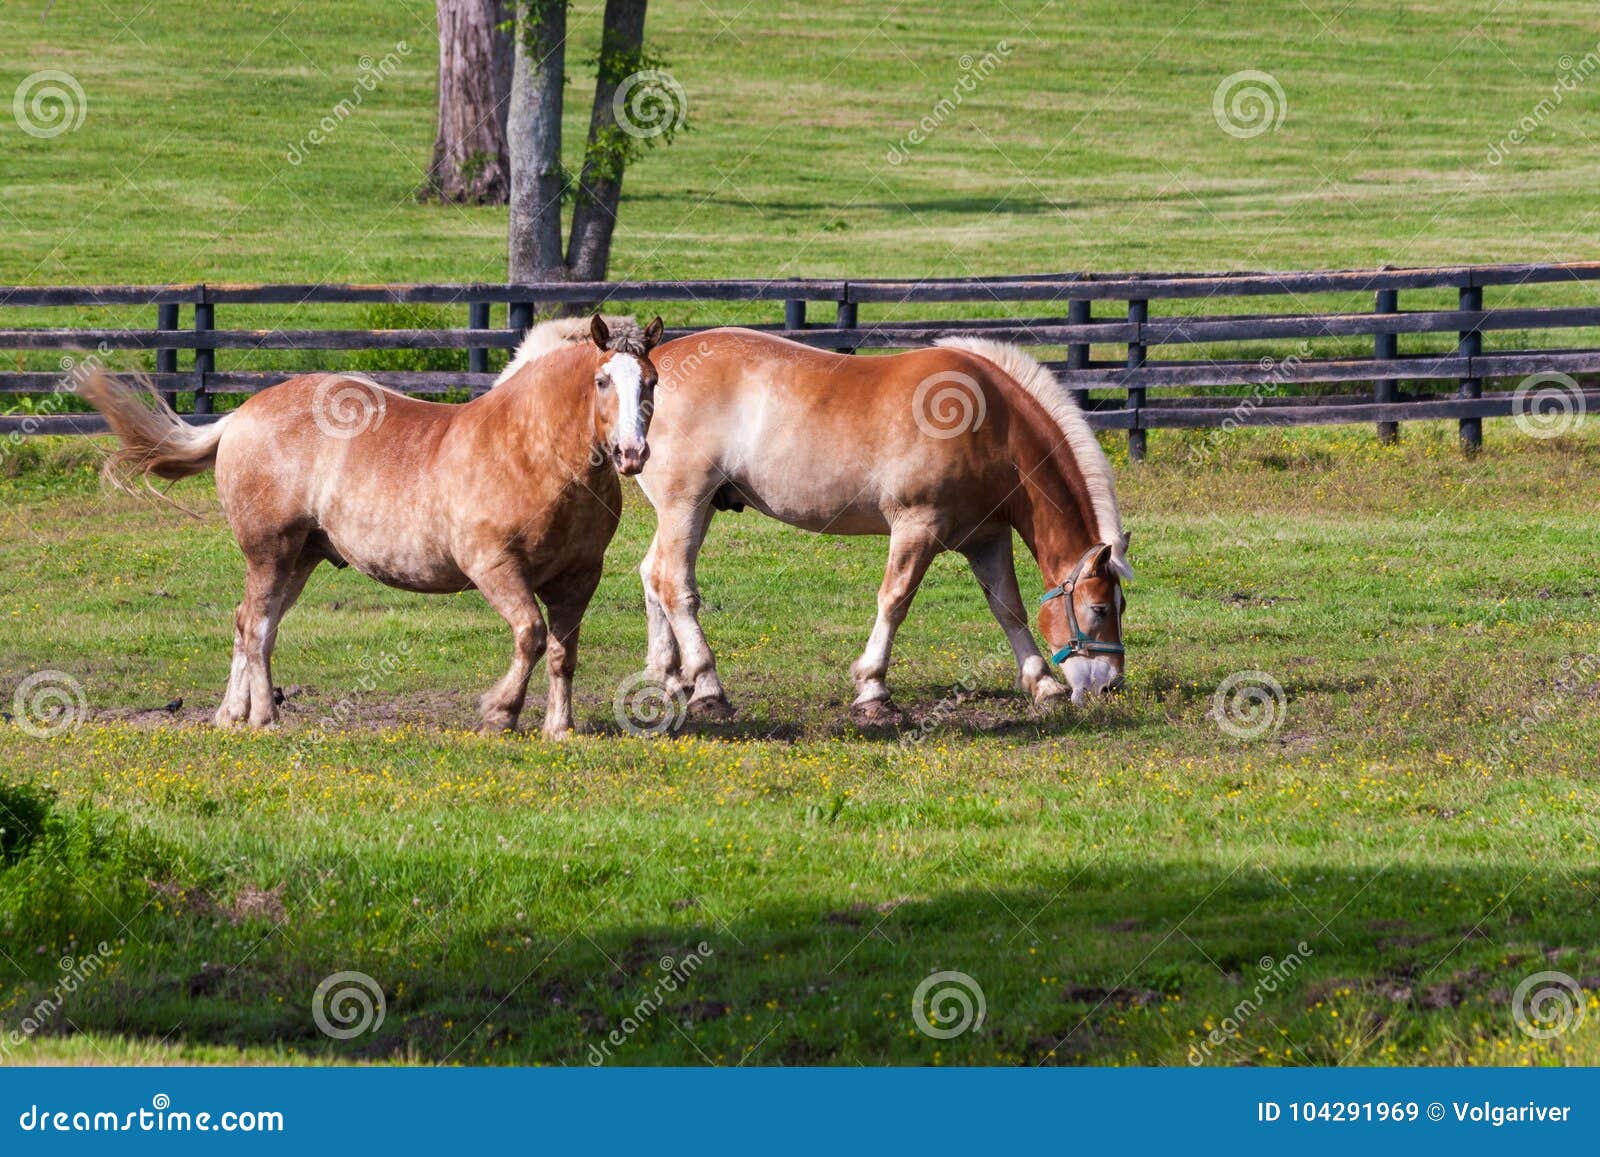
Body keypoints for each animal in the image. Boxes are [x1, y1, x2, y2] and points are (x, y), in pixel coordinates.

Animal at [81, 314, 664, 737]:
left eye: (652, 381)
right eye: (602, 380)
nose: (632, 455)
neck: (532, 450)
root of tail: (240, 415)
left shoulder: (578, 579)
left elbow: (564, 654)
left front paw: (559, 730)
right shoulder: (495, 567)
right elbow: (532, 636)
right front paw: (499, 713)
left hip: (301, 559)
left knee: (252, 625)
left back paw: (232, 715)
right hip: (269, 552)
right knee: (255, 626)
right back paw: (265, 717)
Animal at [634, 328, 1132, 723]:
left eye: (1120, 607)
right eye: (1100, 609)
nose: (1111, 686)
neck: (991, 423)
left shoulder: (987, 537)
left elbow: (1008, 608)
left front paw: (1042, 683)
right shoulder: (917, 526)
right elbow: (894, 601)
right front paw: (873, 690)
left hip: (693, 510)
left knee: (652, 575)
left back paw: (667, 676)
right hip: (686, 505)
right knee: (675, 585)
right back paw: (708, 688)